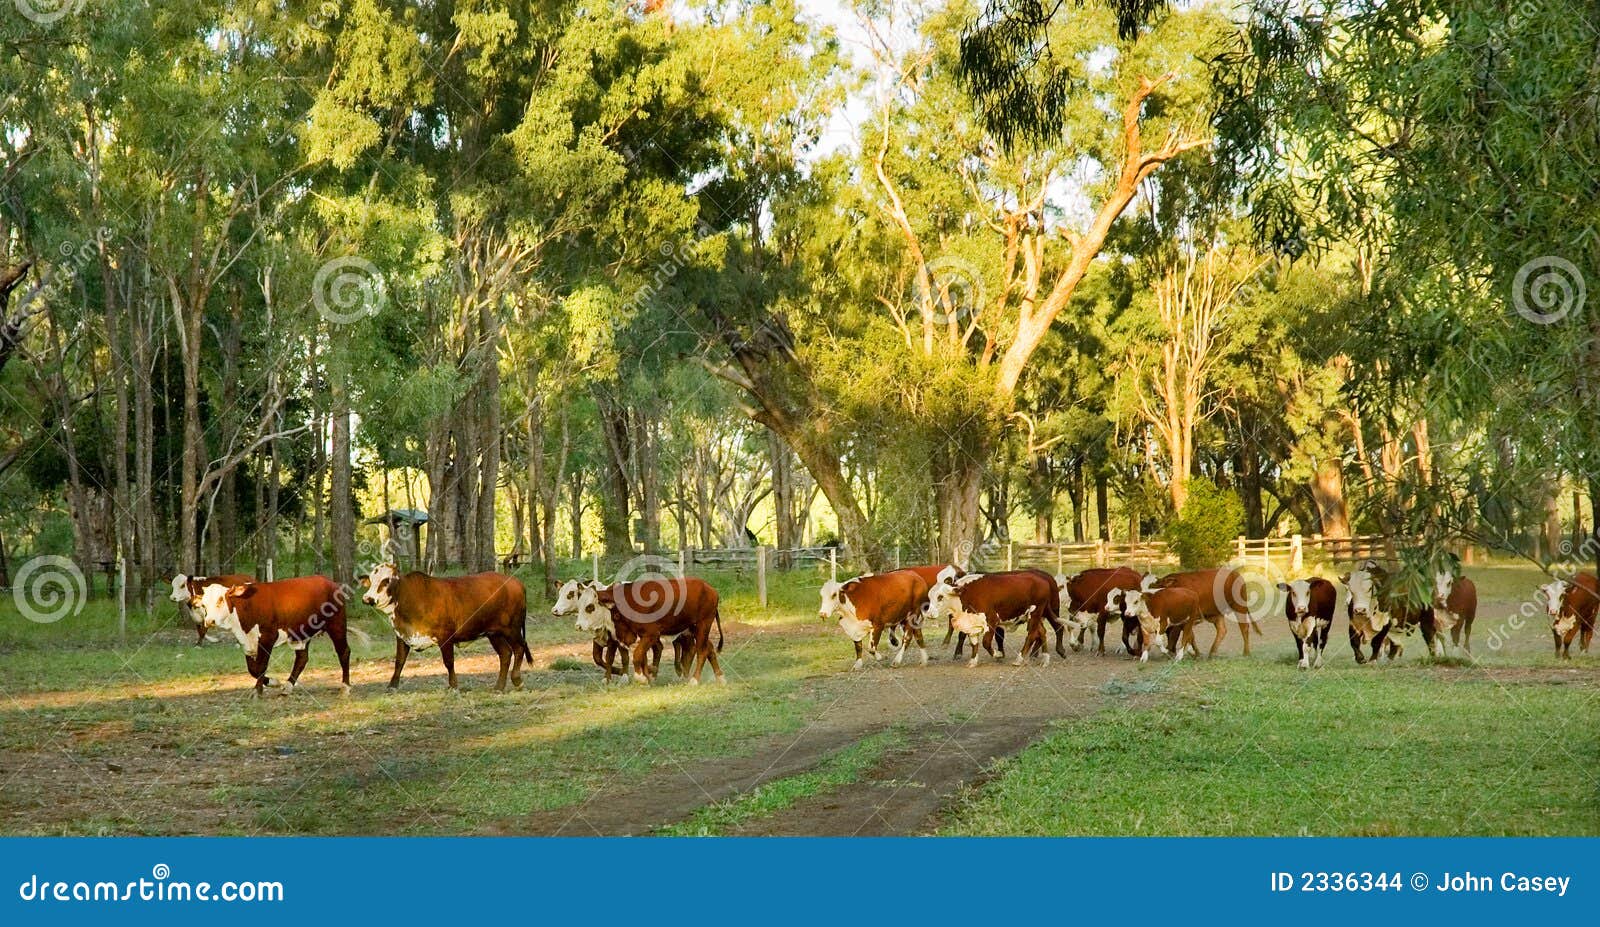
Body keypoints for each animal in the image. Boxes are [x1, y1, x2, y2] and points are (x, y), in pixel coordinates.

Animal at [190, 576, 353, 696]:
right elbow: (252, 668)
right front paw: (272, 682)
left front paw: (258, 690)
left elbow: (261, 666)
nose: (209, 621)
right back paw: (288, 686)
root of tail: (329, 581)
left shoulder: (268, 636)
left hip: (337, 625)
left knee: (344, 652)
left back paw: (345, 687)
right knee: (302, 658)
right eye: (204, 604)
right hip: (303, 632)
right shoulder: (246, 641)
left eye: (220, 600)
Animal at [358, 563, 531, 692]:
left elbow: (449, 662)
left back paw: (517, 680)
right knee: (505, 654)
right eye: (371, 580)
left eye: (386, 580)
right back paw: (499, 686)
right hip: (494, 633)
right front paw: (392, 685)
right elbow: (399, 661)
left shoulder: (445, 637)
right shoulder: (402, 636)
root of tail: (516, 582)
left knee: (519, 648)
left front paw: (453, 685)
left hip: (512, 629)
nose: (367, 598)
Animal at [571, 577, 724, 685]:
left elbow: (637, 654)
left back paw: (694, 680)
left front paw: (641, 677)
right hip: (695, 628)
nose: (578, 626)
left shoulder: (652, 634)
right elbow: (642, 656)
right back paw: (720, 677)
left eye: (590, 607)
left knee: (702, 651)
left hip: (703, 625)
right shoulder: (641, 635)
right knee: (709, 648)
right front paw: (648, 675)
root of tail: (710, 589)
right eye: (579, 606)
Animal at [925, 570, 1062, 667]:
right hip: (1033, 616)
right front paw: (973, 661)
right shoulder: (972, 624)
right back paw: (1045, 659)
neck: (967, 594)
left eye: (940, 597)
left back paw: (1019, 659)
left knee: (1032, 635)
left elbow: (986, 642)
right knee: (1042, 632)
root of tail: (1043, 580)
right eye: (930, 597)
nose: (929, 614)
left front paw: (998, 654)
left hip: (1035, 614)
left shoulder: (991, 621)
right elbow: (974, 643)